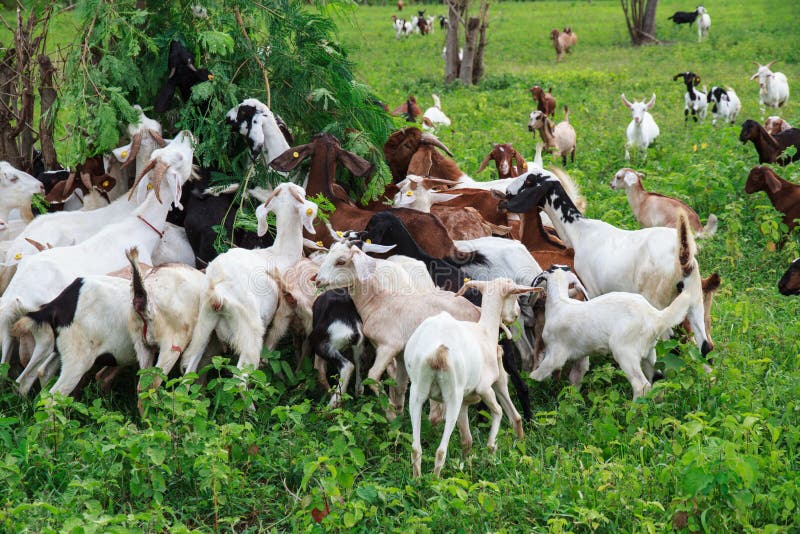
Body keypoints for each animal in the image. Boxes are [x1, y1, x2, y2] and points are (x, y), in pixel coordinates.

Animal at [405, 278, 535, 477]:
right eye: (514, 296)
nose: (516, 314)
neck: (485, 331)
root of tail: (437, 353)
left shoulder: (466, 402)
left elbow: (467, 440)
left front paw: (467, 465)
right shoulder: (484, 388)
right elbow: (497, 411)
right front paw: (491, 448)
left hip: (417, 394)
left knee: (415, 447)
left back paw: (417, 478)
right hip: (453, 396)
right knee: (441, 450)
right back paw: (434, 479)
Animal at [498, 172, 713, 360]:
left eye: (529, 181)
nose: (506, 192)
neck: (579, 230)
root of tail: (683, 255)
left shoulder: (592, 288)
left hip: (658, 301)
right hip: (693, 301)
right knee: (704, 346)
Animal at [531, 263, 699, 400]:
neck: (559, 303)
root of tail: (655, 316)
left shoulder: (555, 354)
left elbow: (538, 375)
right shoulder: (581, 355)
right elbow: (575, 378)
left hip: (625, 351)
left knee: (641, 385)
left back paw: (632, 412)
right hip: (649, 353)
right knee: (657, 379)